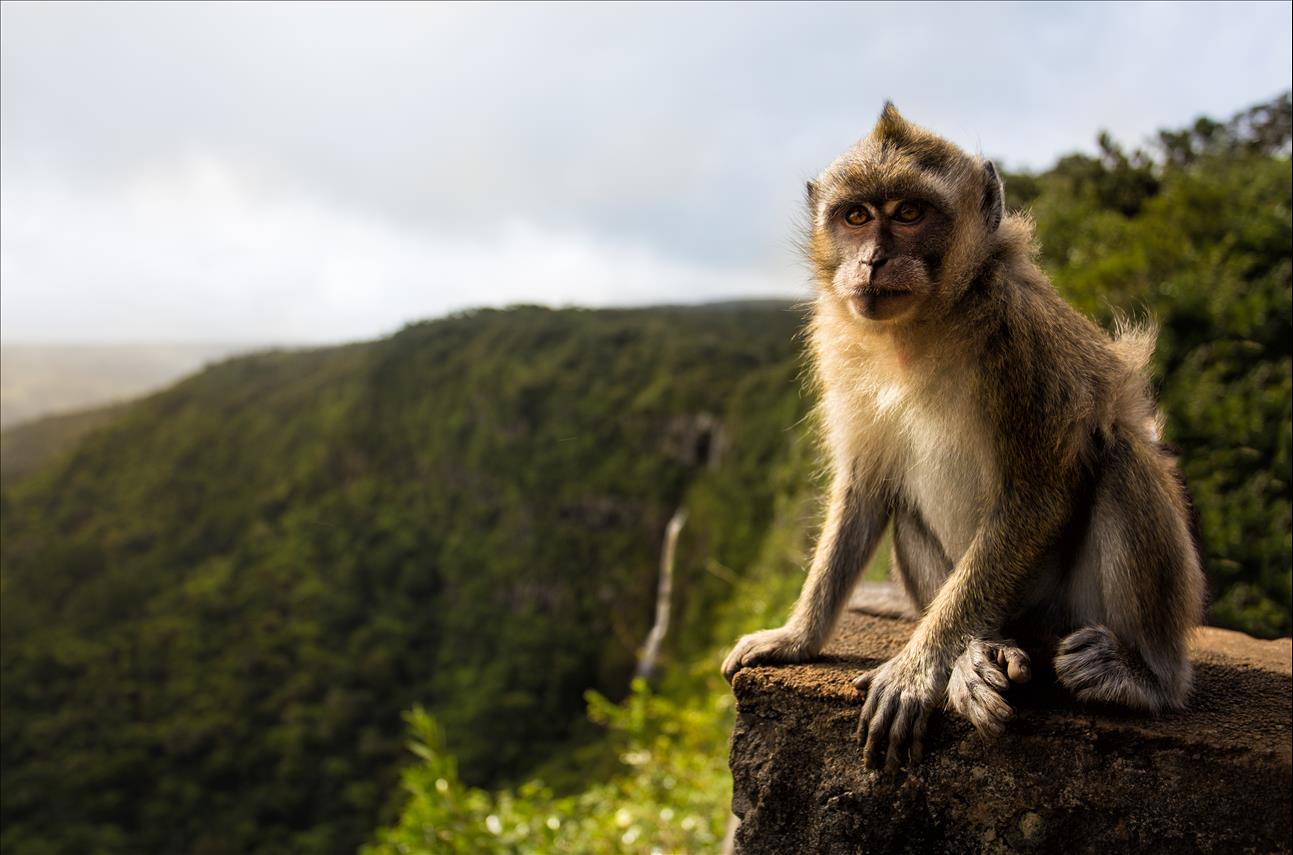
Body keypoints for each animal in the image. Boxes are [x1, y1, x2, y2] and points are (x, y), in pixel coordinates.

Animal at [721, 103, 1205, 771]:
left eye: (909, 213)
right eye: (856, 217)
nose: (871, 261)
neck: (920, 327)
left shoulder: (1021, 337)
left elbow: (1038, 495)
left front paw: (916, 669)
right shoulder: (838, 345)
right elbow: (865, 488)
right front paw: (796, 637)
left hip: (1073, 611)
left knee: (1122, 458)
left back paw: (1145, 678)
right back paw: (984, 653)